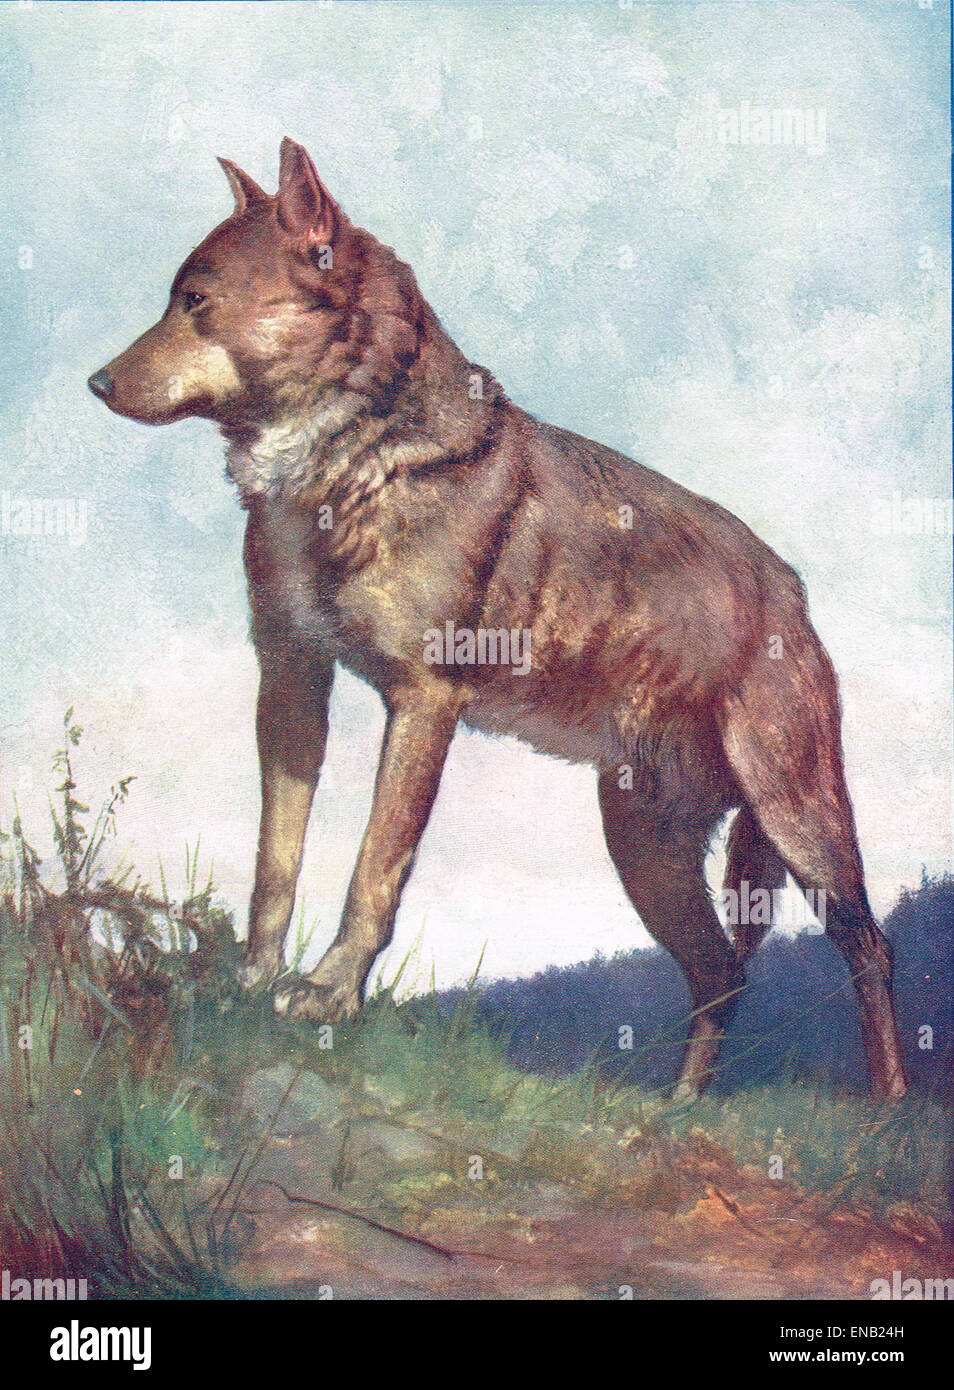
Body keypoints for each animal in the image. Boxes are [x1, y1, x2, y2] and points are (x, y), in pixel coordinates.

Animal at [89, 139, 907, 1099]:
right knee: (721, 972)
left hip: (799, 823)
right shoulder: (291, 681)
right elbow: (274, 863)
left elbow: (373, 871)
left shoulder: (422, 704)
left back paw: (887, 1108)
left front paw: (327, 995)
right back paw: (676, 1110)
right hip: (646, 847)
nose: (95, 382)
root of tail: (792, 588)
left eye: (197, 302)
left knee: (867, 948)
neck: (350, 466)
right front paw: (250, 985)